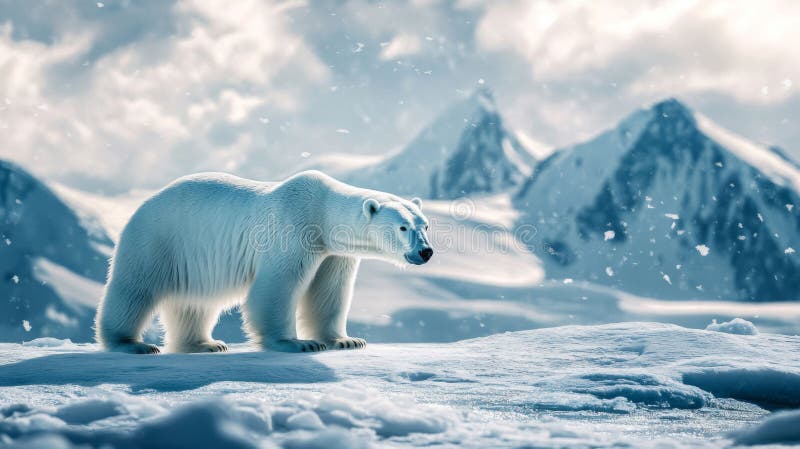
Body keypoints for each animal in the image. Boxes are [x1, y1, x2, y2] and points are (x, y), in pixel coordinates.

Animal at [94, 170, 433, 354]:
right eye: (403, 227)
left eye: (425, 225)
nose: (425, 252)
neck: (321, 211)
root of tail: (145, 203)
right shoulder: (293, 229)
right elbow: (277, 286)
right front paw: (298, 343)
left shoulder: (334, 253)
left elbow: (329, 292)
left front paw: (347, 340)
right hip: (158, 240)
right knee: (134, 289)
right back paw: (132, 343)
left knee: (195, 302)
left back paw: (205, 344)